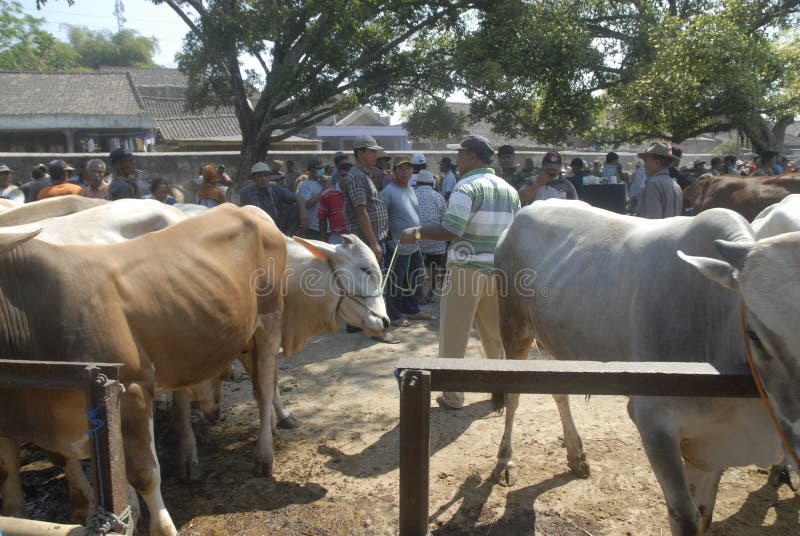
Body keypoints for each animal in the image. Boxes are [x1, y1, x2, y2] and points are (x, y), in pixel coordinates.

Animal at [0, 204, 287, 536]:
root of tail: (242, 208)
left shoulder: (131, 390)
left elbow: (143, 473)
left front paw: (162, 527)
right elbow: (107, 467)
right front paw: (125, 517)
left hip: (269, 322)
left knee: (263, 389)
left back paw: (264, 455)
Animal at [493, 199, 800, 535]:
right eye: (754, 334)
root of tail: (527, 209)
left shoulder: (711, 443)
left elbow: (704, 515)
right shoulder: (652, 421)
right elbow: (685, 517)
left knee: (558, 391)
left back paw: (576, 456)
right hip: (514, 326)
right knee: (513, 397)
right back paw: (506, 461)